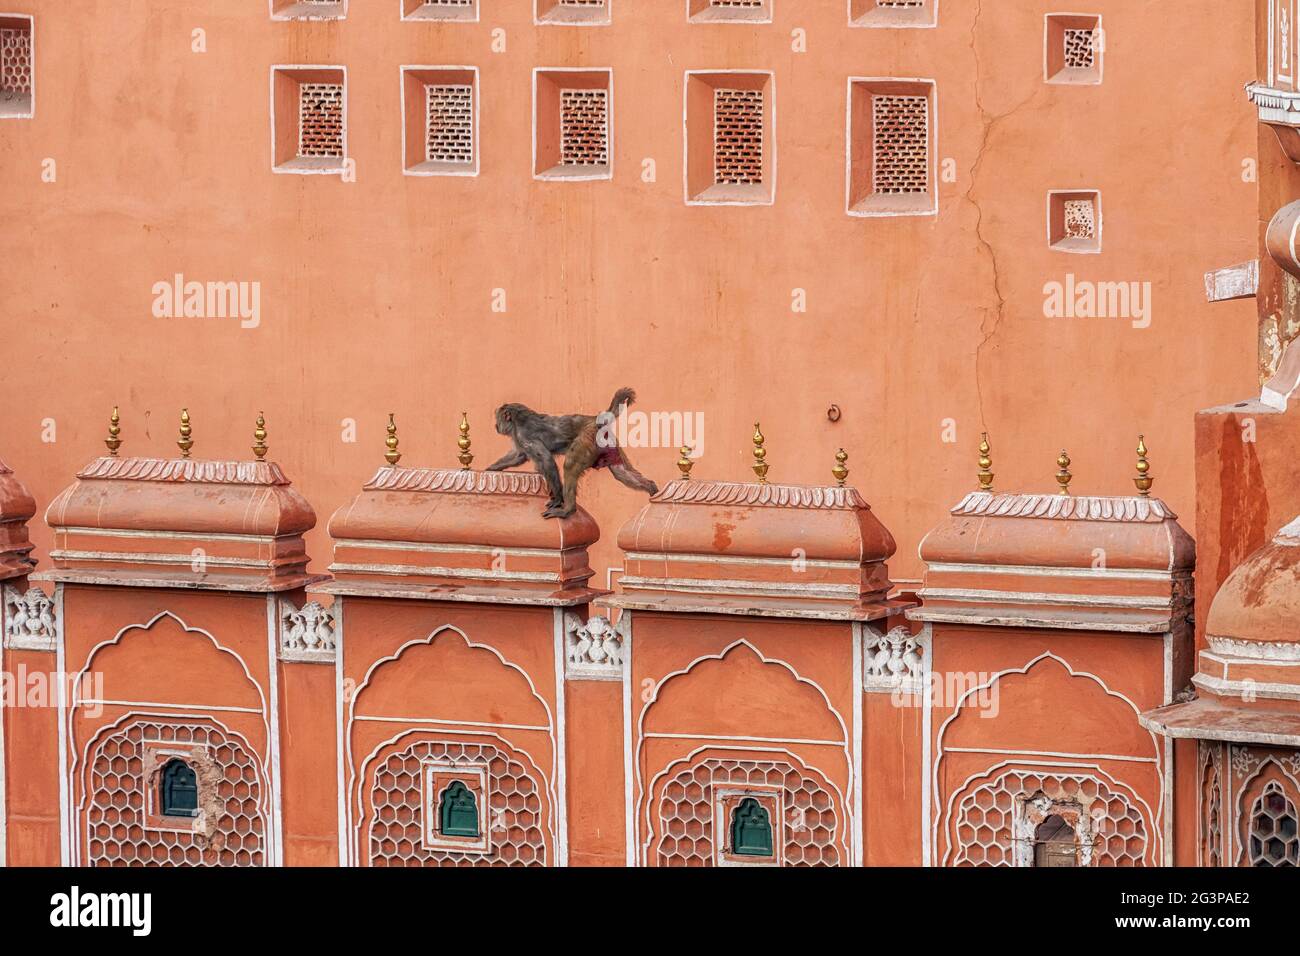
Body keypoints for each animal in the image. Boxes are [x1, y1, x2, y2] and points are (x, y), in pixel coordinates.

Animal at [486, 387, 660, 519]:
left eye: (498, 418)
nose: (495, 426)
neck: (518, 421)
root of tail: (595, 420)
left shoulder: (525, 435)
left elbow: (547, 460)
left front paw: (557, 499)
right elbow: (519, 456)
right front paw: (491, 469)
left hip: (587, 439)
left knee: (570, 465)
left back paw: (568, 510)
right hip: (608, 443)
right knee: (621, 472)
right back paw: (652, 489)